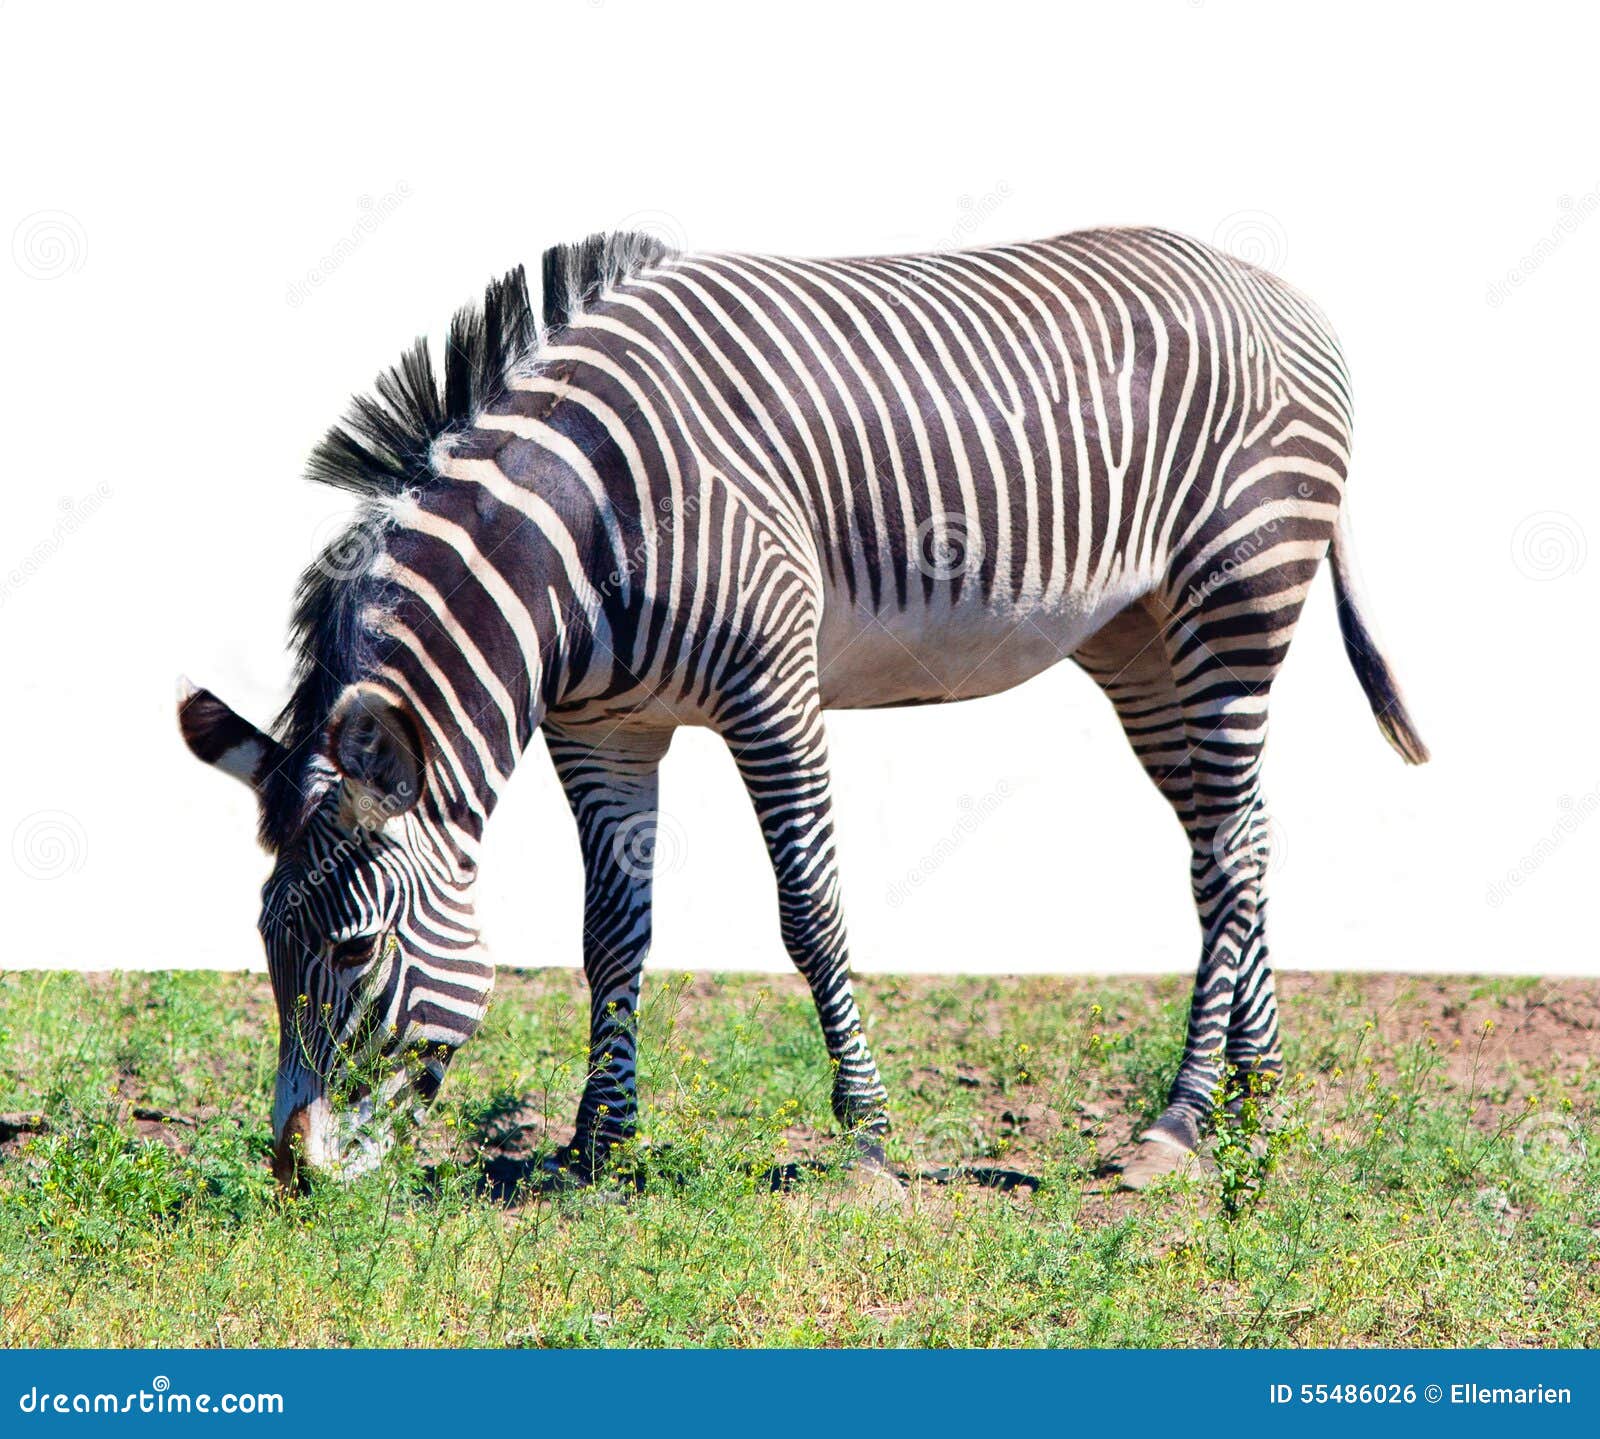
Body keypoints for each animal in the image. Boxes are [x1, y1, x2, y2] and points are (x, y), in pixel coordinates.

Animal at [178, 226, 1426, 1190]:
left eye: (352, 948)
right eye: (264, 941)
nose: (295, 1171)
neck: (577, 544)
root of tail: (1271, 284)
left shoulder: (773, 690)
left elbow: (809, 909)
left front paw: (867, 1142)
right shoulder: (603, 728)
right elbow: (608, 931)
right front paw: (597, 1149)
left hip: (1235, 599)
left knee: (1228, 860)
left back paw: (1177, 1122)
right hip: (1143, 644)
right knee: (1235, 839)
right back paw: (1255, 1104)